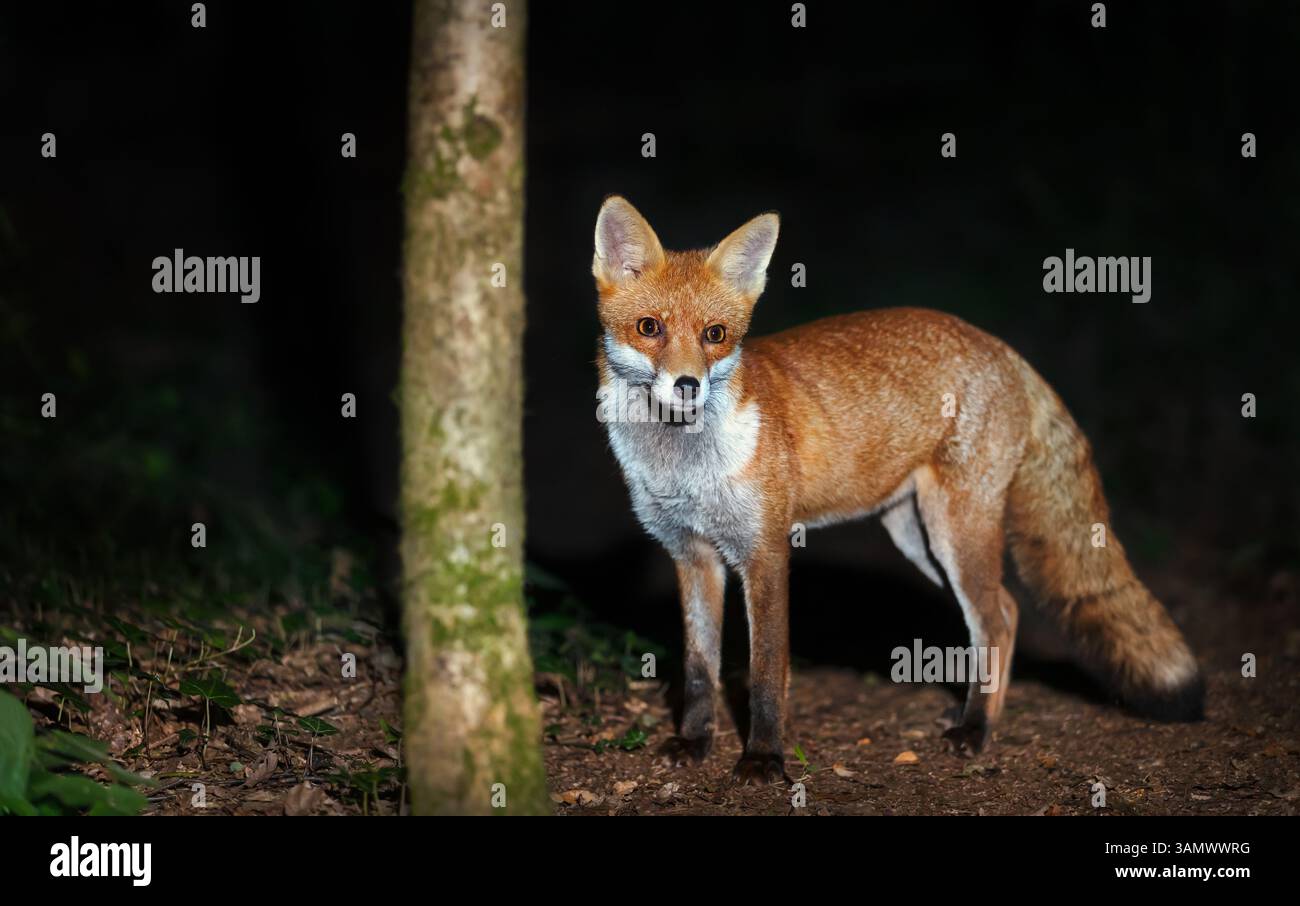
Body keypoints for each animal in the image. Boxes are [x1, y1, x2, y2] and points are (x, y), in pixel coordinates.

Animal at [592, 196, 1205, 784]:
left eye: (715, 335)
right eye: (649, 327)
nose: (687, 386)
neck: (683, 467)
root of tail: (999, 346)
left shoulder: (764, 551)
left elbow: (766, 672)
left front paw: (764, 759)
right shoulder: (691, 553)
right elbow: (700, 668)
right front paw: (695, 743)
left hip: (955, 531)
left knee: (997, 618)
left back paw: (976, 730)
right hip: (917, 538)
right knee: (1005, 610)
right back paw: (981, 716)